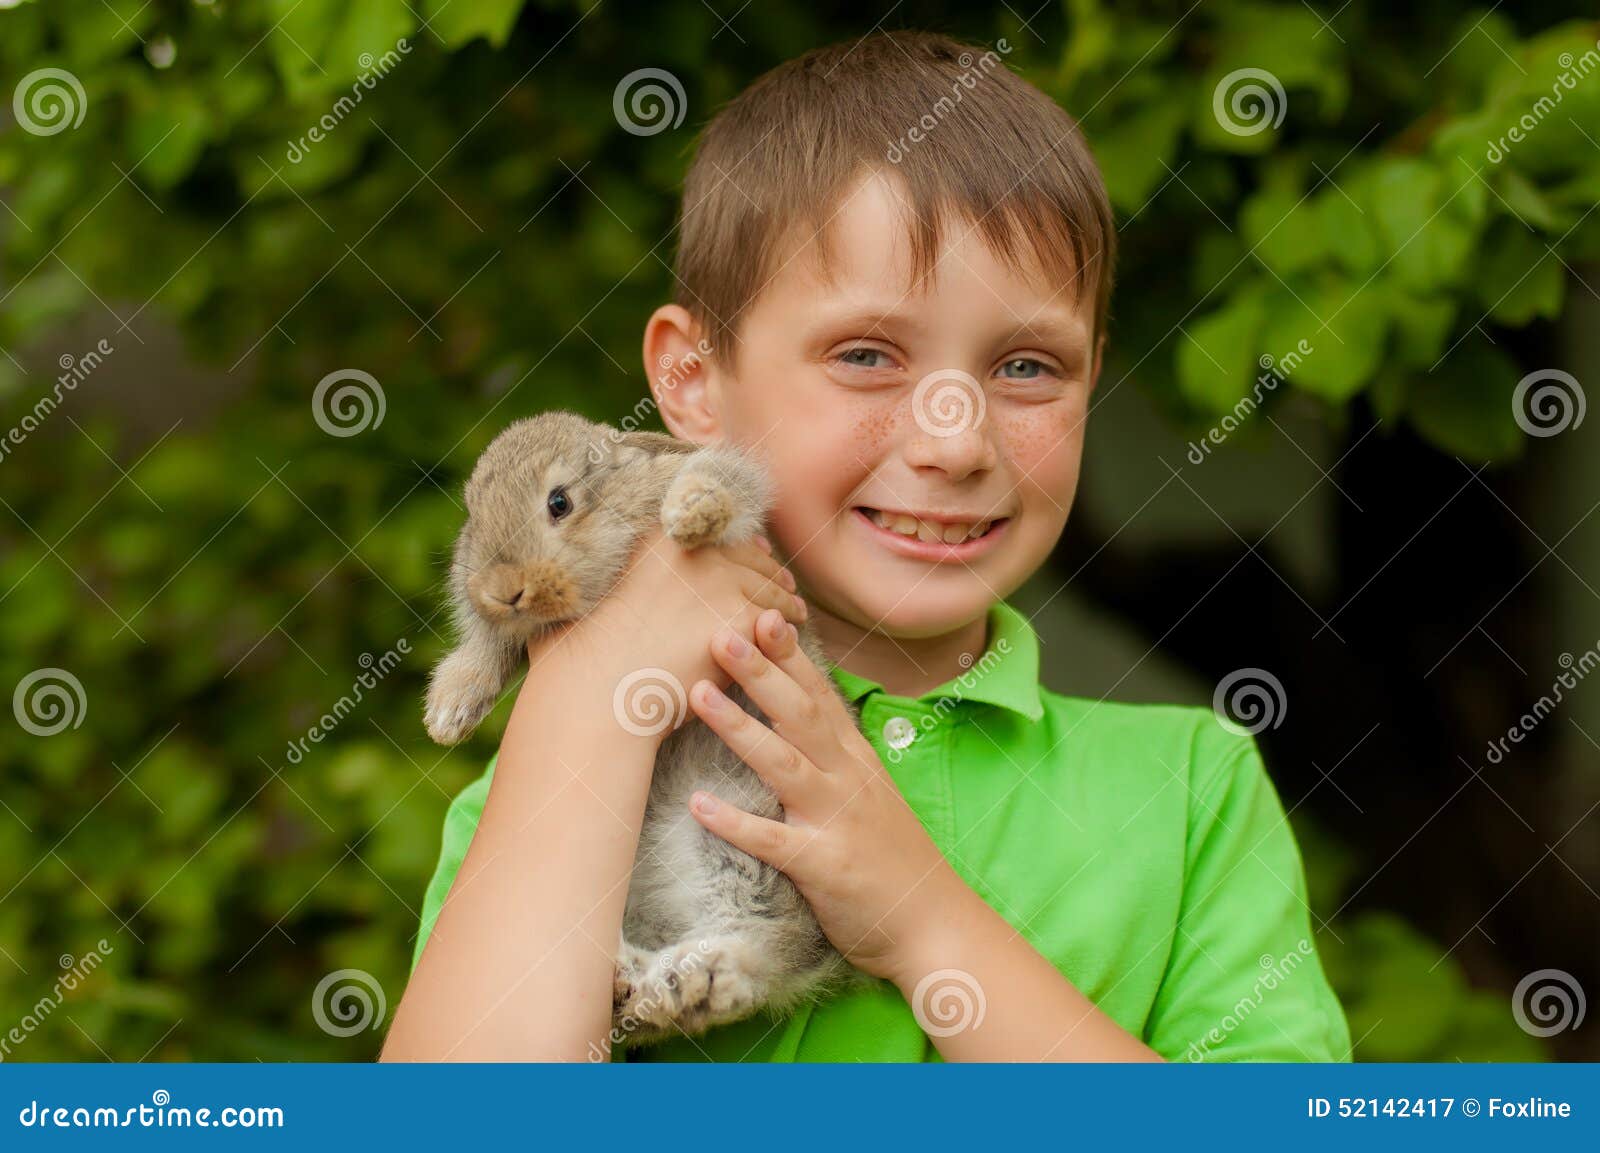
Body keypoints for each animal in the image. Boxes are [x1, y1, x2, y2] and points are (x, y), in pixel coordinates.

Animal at [424, 410, 853, 1046]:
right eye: (472, 515)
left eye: (559, 502)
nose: (503, 590)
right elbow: (489, 644)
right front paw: (448, 712)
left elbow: (722, 481)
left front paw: (689, 513)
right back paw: (638, 988)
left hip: (738, 836)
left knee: (761, 947)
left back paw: (685, 984)